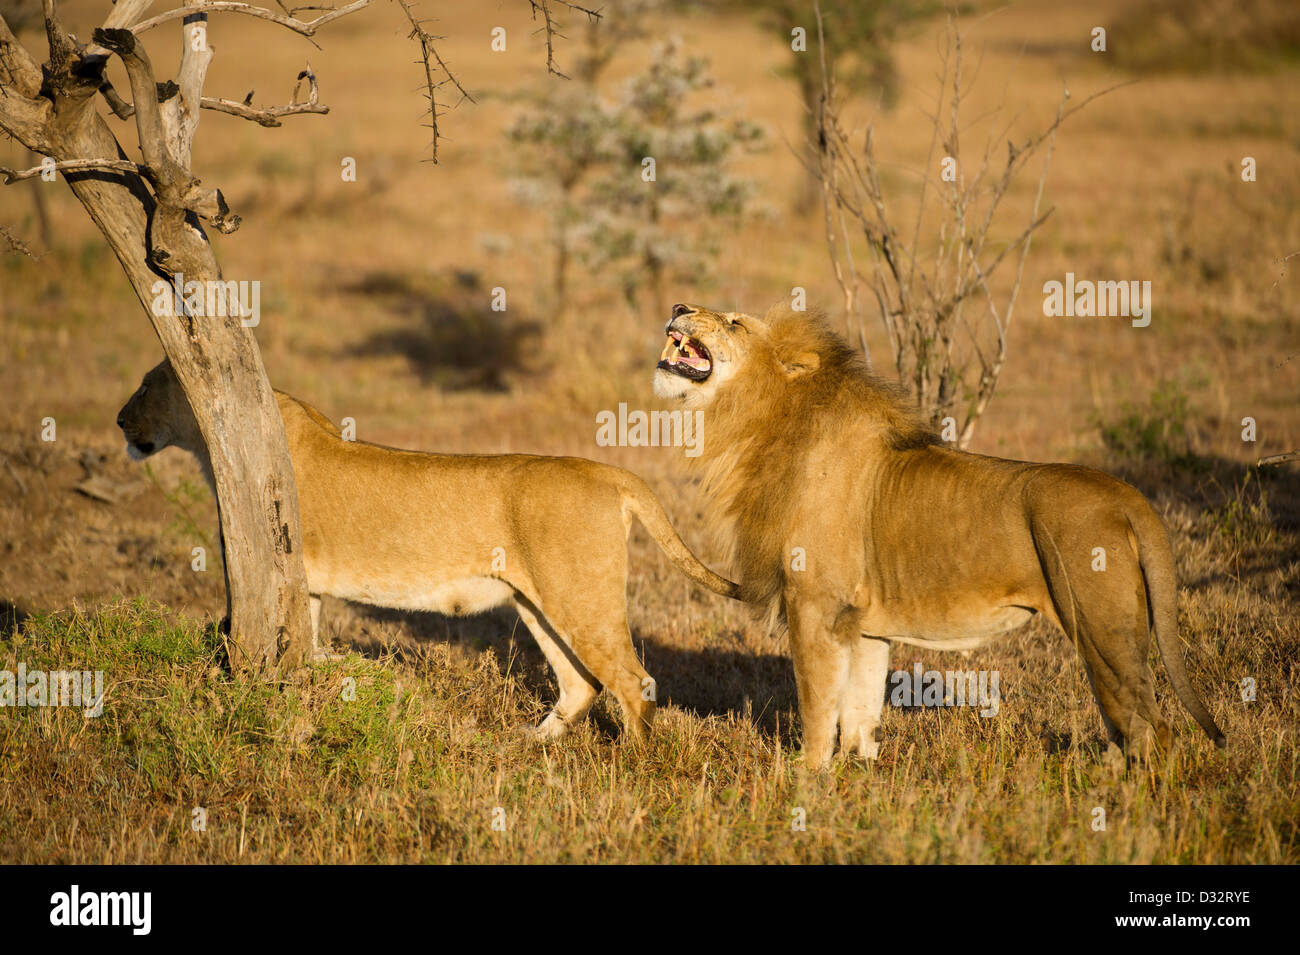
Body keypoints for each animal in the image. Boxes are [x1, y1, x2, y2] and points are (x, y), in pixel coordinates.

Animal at [118, 359, 739, 742]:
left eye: (146, 387)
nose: (120, 420)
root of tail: (612, 472)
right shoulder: (305, 580)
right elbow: (309, 640)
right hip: (537, 602)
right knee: (581, 682)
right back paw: (530, 745)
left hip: (578, 598)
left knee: (633, 682)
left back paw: (634, 769)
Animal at [654, 302, 1225, 769]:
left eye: (734, 322)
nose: (679, 306)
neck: (762, 422)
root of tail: (1129, 497)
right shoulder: (862, 624)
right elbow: (860, 707)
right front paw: (859, 773)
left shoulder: (814, 604)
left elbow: (818, 703)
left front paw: (804, 779)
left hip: (1102, 630)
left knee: (1154, 729)